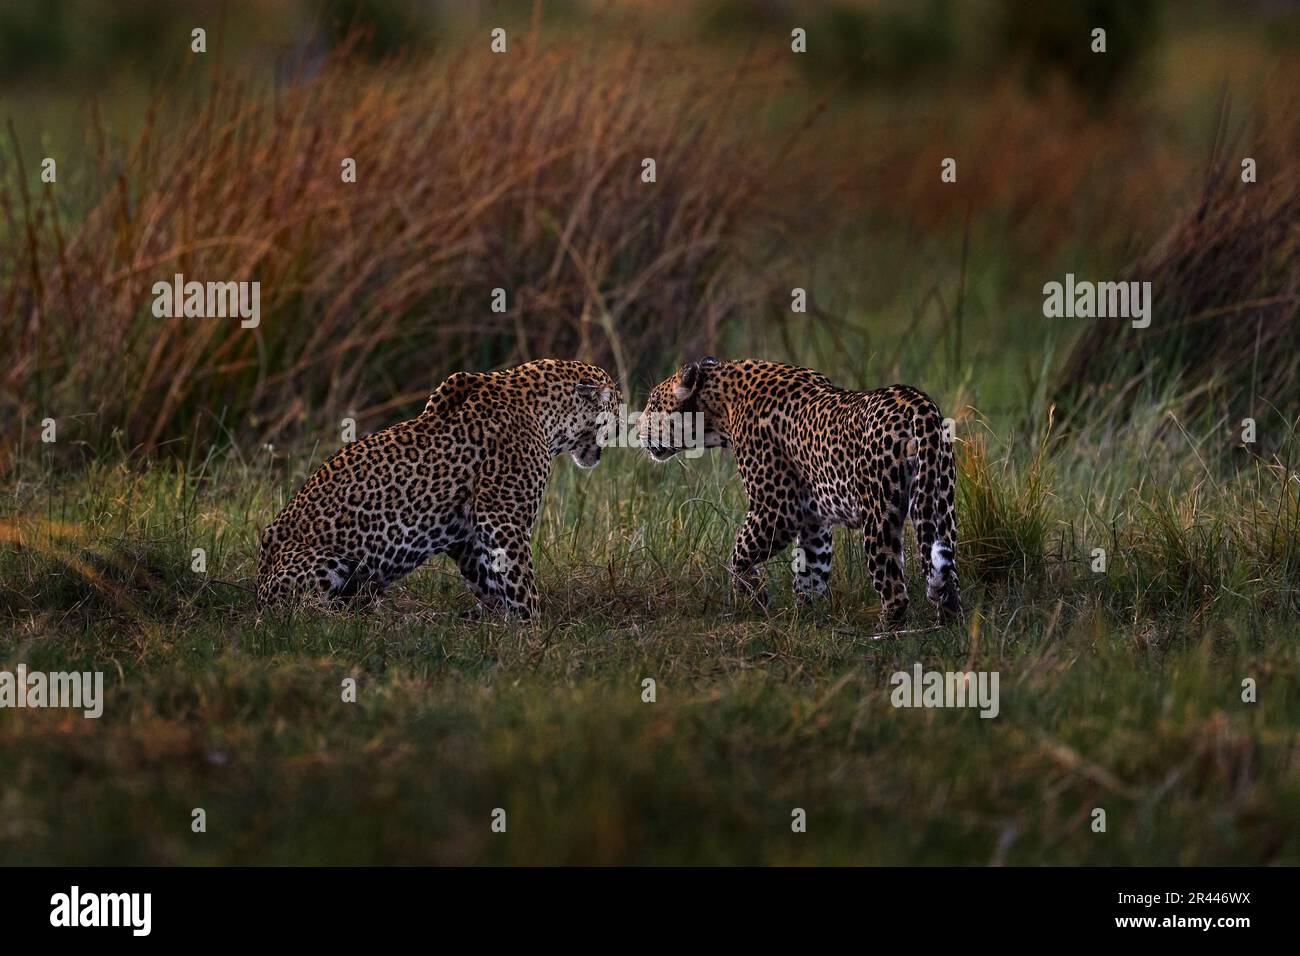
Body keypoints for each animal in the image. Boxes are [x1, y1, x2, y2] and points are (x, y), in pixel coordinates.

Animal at [256, 359, 620, 618]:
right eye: (616, 402)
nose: (622, 425)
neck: (548, 415)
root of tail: (259, 578)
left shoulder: (467, 534)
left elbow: (488, 576)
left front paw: (495, 620)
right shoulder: (501, 517)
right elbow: (520, 580)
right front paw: (532, 628)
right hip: (321, 563)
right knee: (299, 609)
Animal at [637, 357, 961, 627]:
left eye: (653, 404)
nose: (637, 430)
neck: (720, 408)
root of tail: (918, 404)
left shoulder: (776, 509)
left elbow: (739, 554)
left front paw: (754, 592)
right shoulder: (813, 520)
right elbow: (810, 568)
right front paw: (805, 617)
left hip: (879, 514)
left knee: (894, 587)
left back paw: (885, 630)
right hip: (940, 501)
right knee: (947, 576)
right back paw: (947, 625)